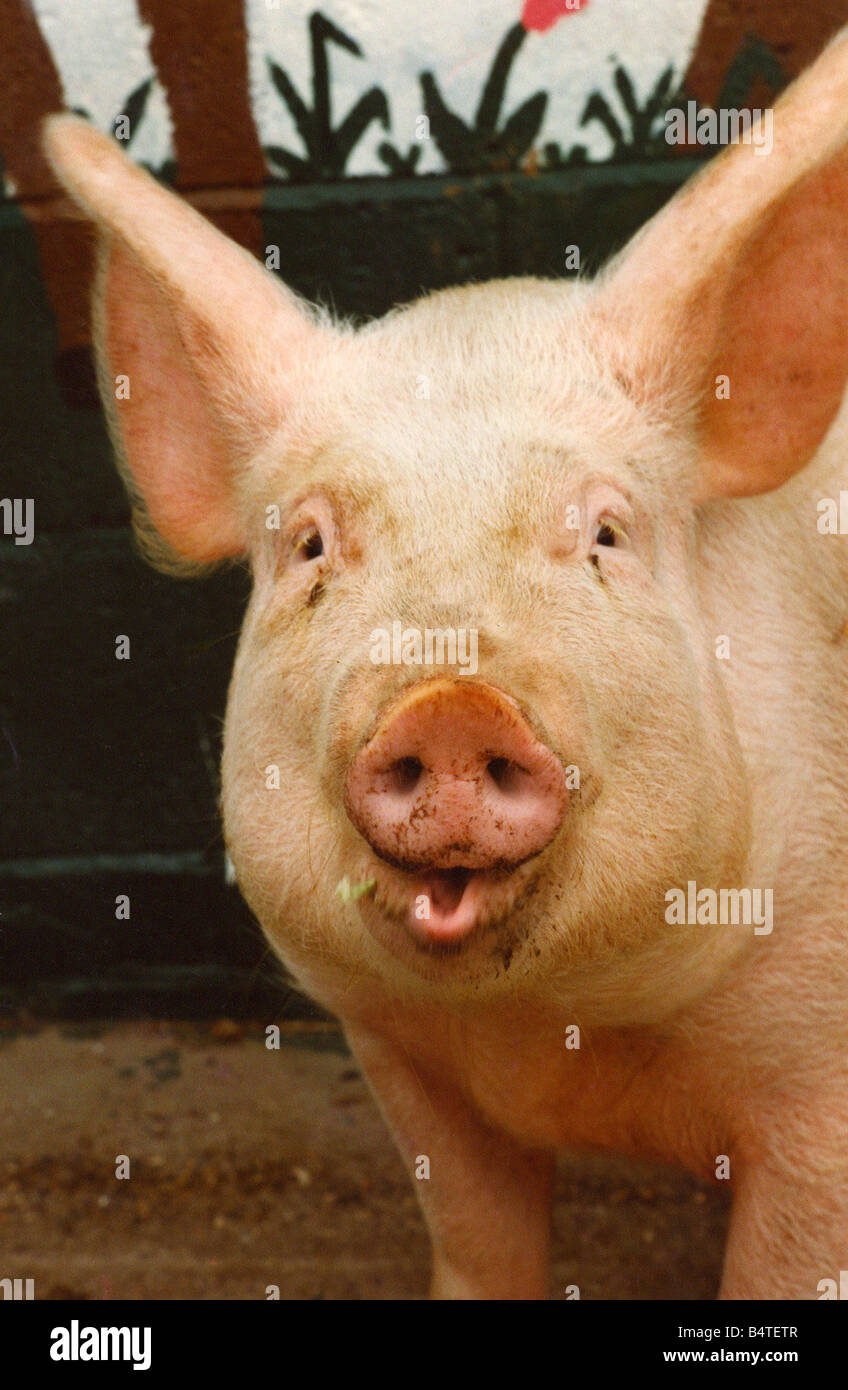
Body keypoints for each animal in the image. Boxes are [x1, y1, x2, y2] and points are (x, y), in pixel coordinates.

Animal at [42, 26, 848, 1300]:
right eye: (310, 544)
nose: (451, 700)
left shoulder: (817, 1082)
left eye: (604, 532)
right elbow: (475, 1237)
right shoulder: (398, 1053)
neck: (547, 1032)